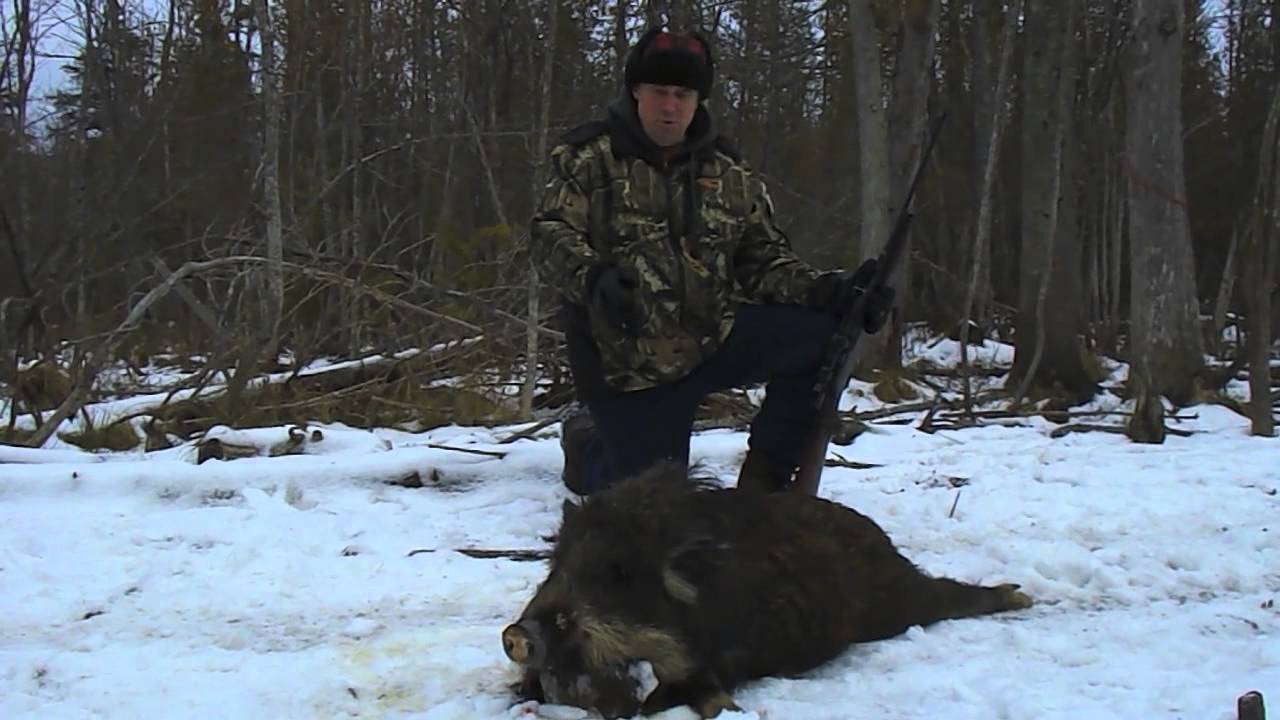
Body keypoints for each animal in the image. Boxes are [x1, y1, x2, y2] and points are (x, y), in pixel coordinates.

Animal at [502, 462, 1033, 718]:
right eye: (556, 562)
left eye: (620, 574)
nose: (516, 634)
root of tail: (882, 541)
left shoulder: (711, 662)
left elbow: (711, 700)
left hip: (898, 604)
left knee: (949, 595)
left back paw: (1021, 596)